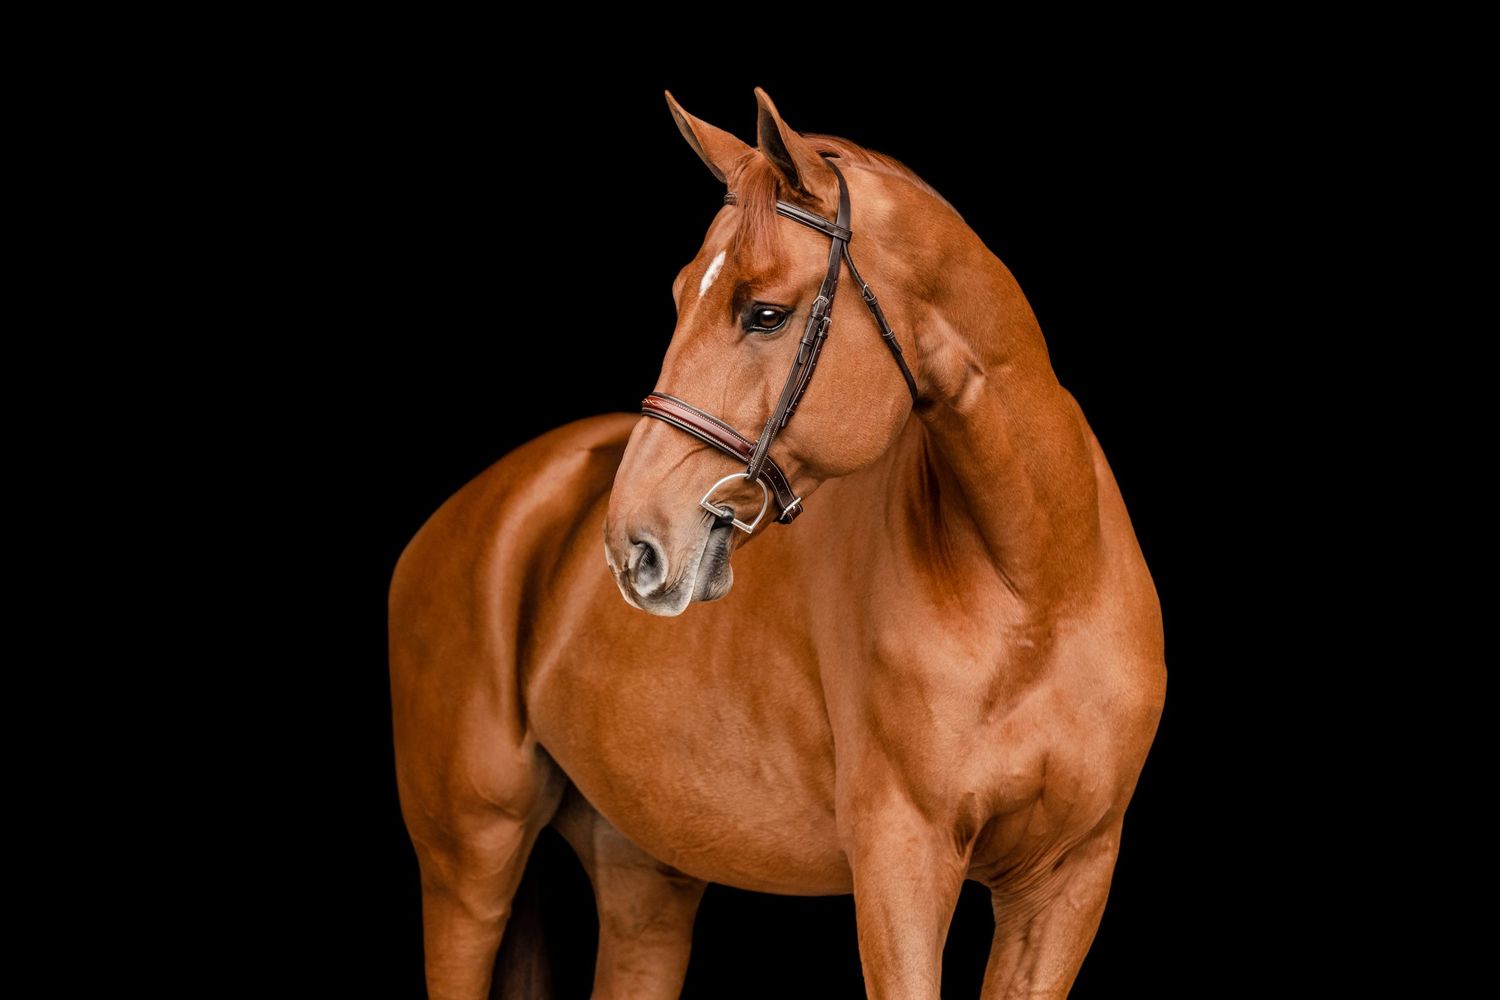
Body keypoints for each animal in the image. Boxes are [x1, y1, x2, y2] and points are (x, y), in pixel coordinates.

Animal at [389, 87, 1166, 999]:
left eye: (764, 313)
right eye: (681, 295)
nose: (634, 544)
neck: (1039, 589)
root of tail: (484, 505)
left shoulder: (1068, 879)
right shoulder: (902, 862)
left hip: (644, 870)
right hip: (470, 862)